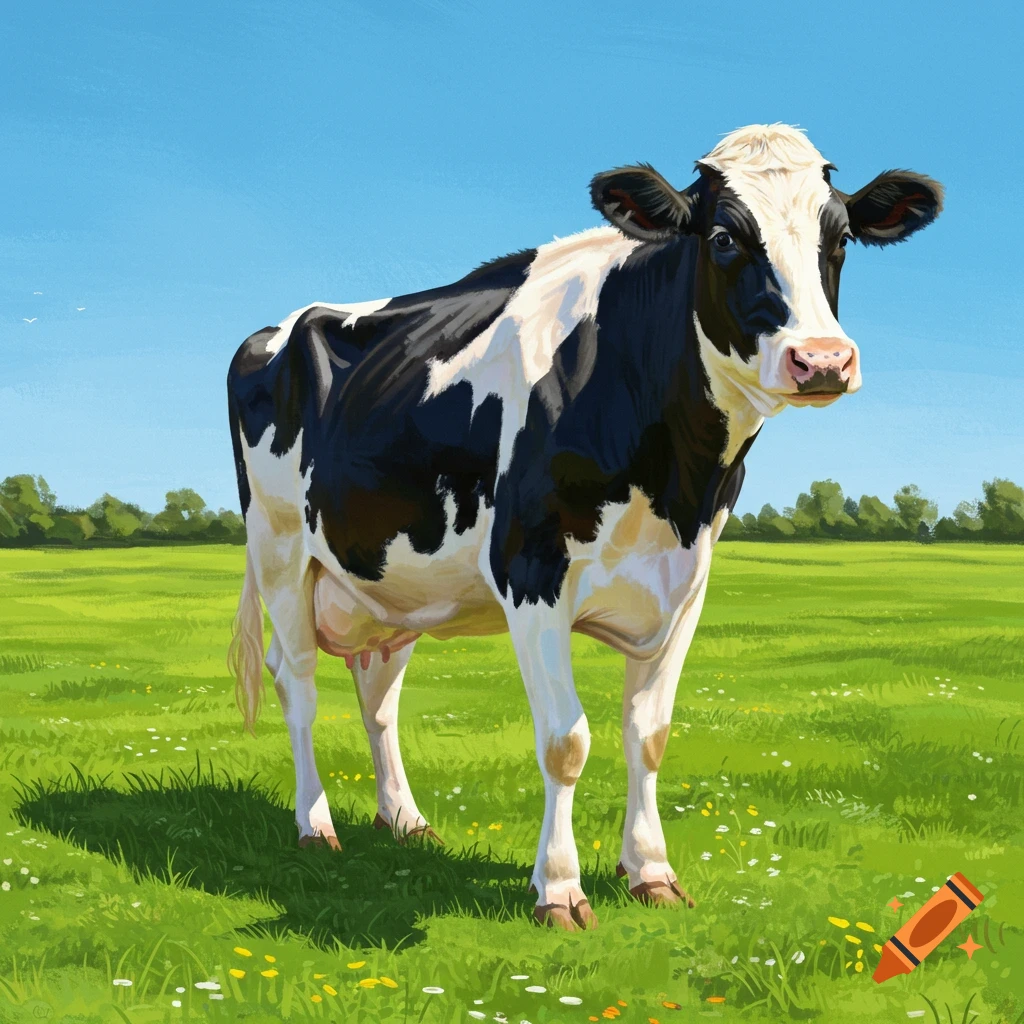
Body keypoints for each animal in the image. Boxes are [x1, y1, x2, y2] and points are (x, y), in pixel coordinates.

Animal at [227, 124, 942, 931]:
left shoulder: (685, 585)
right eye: (724, 236)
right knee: (299, 684)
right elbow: (565, 740)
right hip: (282, 552)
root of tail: (279, 326)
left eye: (840, 236)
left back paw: (404, 821)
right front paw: (560, 890)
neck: (672, 479)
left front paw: (652, 873)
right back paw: (315, 825)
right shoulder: (530, 571)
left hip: (389, 583)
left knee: (378, 696)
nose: (822, 360)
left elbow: (650, 736)